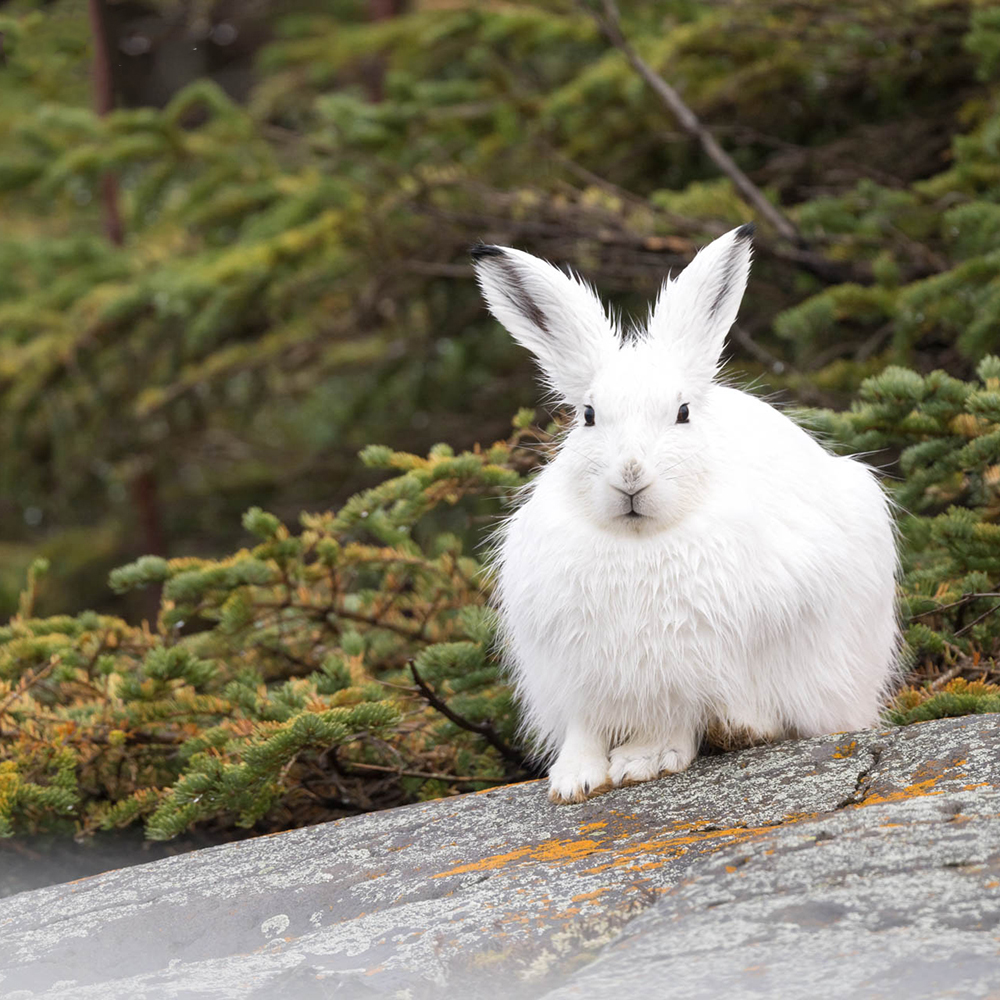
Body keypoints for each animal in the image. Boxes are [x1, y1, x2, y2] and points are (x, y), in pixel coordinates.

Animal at [471, 224, 900, 804]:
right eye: (587, 416)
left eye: (682, 413)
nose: (631, 476)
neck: (638, 540)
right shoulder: (577, 669)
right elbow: (586, 725)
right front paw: (573, 780)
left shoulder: (689, 666)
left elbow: (674, 717)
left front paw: (641, 762)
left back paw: (741, 730)